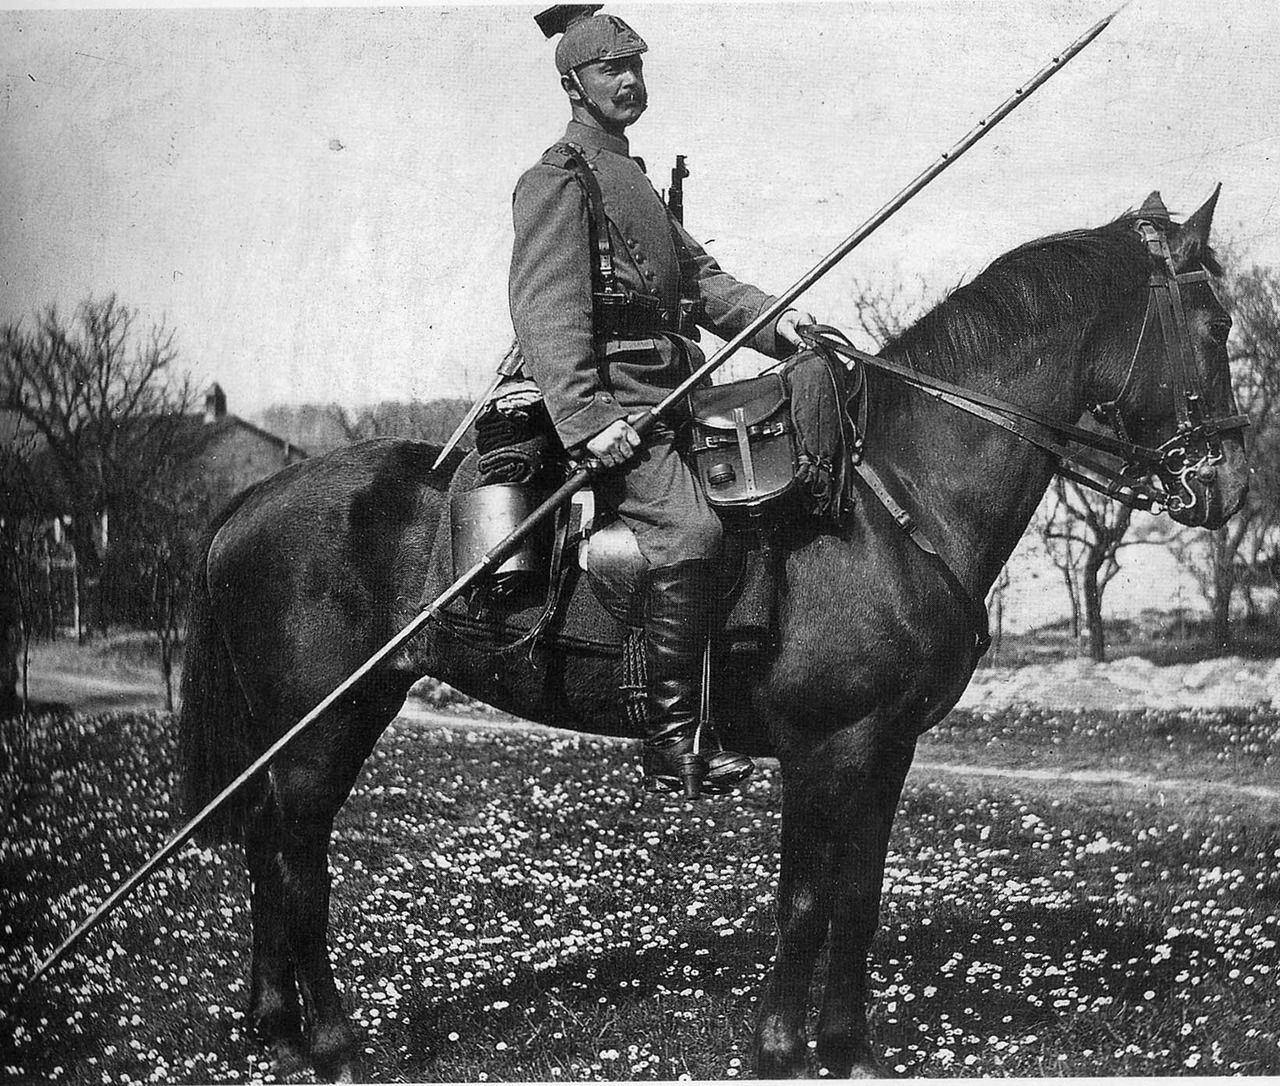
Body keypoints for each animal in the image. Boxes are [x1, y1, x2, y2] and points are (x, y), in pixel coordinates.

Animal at [177, 189, 1248, 1080]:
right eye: (1215, 322)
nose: (1227, 487)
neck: (892, 497)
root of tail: (252, 500)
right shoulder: (826, 748)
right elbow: (806, 900)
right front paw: (780, 1049)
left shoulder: (887, 749)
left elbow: (859, 896)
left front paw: (849, 1051)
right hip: (328, 722)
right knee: (299, 860)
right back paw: (332, 1044)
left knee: (266, 844)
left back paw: (273, 1025)